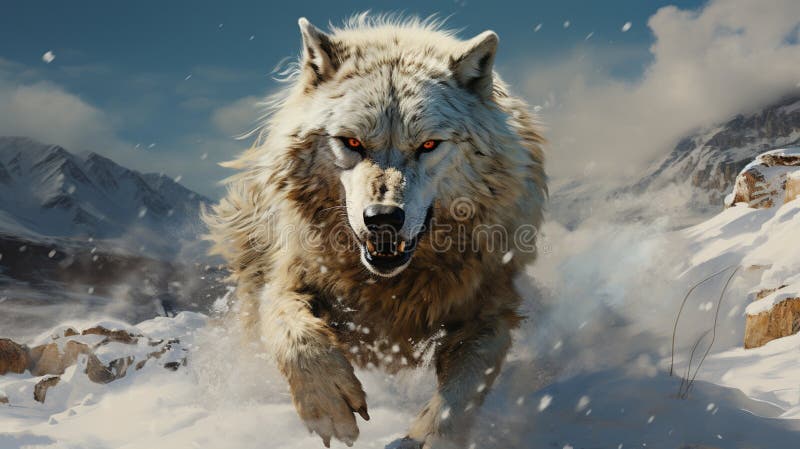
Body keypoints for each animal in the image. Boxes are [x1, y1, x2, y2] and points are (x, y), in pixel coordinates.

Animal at [204, 14, 546, 449]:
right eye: (351, 142)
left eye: (428, 145)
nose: (382, 217)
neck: (389, 289)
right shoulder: (290, 275)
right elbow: (294, 334)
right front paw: (329, 406)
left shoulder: (491, 306)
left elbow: (465, 386)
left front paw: (428, 437)